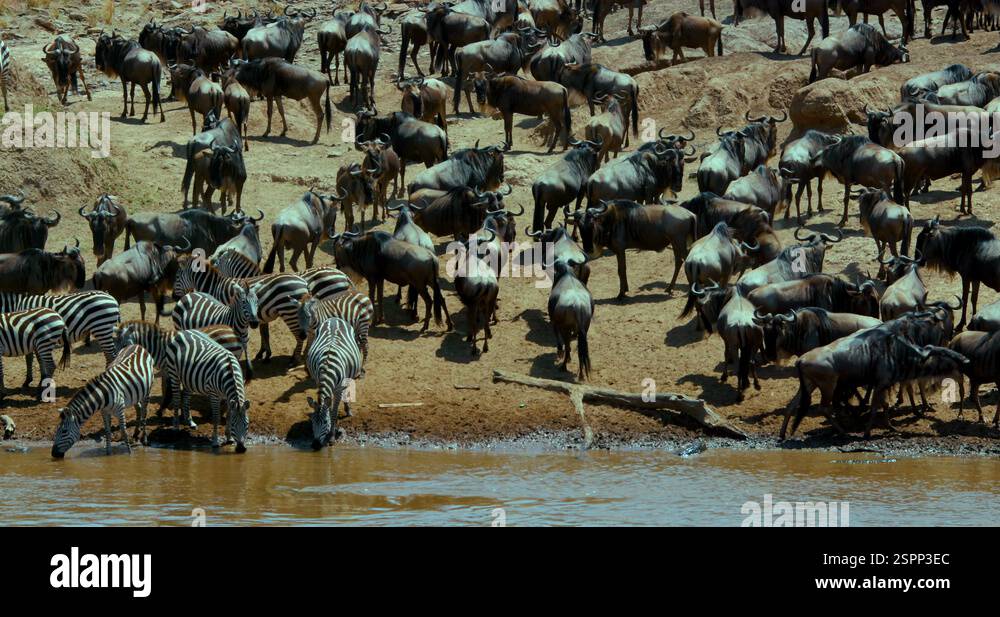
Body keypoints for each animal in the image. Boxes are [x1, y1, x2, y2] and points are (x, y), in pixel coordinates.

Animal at [114, 320, 243, 417]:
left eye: (125, 345)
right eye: (115, 345)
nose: (117, 361)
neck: (160, 347)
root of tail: (232, 331)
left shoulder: (171, 369)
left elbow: (169, 392)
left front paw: (162, 411)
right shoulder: (167, 371)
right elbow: (165, 389)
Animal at [305, 316, 362, 450]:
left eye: (325, 422)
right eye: (312, 421)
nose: (315, 445)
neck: (327, 368)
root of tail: (334, 319)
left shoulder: (338, 389)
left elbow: (334, 412)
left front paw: (331, 437)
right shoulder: (318, 381)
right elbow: (328, 406)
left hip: (347, 378)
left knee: (346, 391)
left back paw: (348, 410)